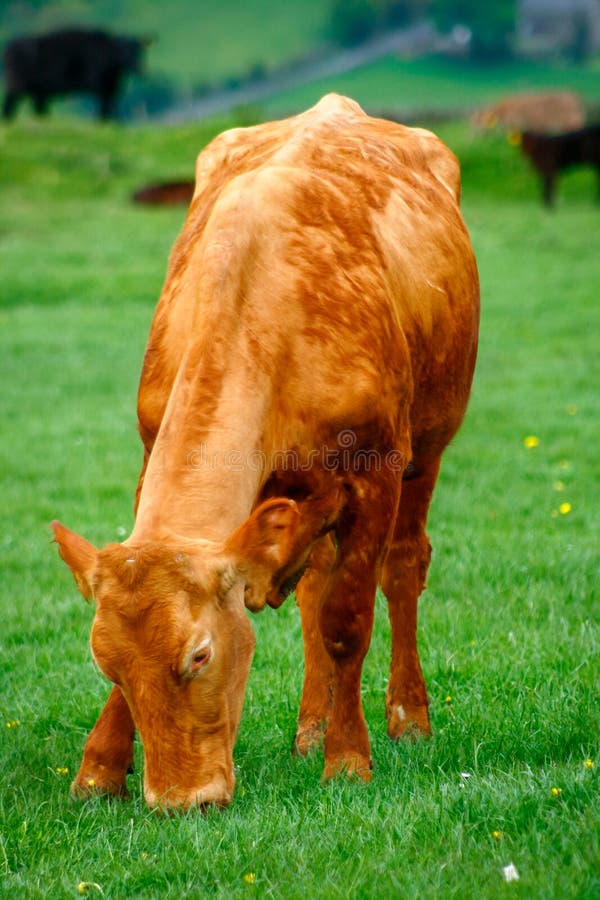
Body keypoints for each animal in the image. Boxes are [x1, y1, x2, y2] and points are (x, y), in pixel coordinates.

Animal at [2, 27, 150, 121]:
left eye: (139, 51)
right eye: (124, 51)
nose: (140, 69)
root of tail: (9, 47)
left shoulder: (109, 88)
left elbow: (109, 109)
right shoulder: (101, 86)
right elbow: (106, 110)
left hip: (39, 90)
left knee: (39, 110)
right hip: (16, 85)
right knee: (9, 105)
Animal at [51, 94, 480, 810]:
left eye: (199, 655)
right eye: (104, 661)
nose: (180, 801)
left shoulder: (376, 474)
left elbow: (347, 618)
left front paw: (349, 760)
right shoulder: (152, 454)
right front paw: (100, 767)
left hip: (430, 443)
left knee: (403, 567)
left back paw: (407, 717)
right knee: (313, 583)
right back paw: (309, 728)